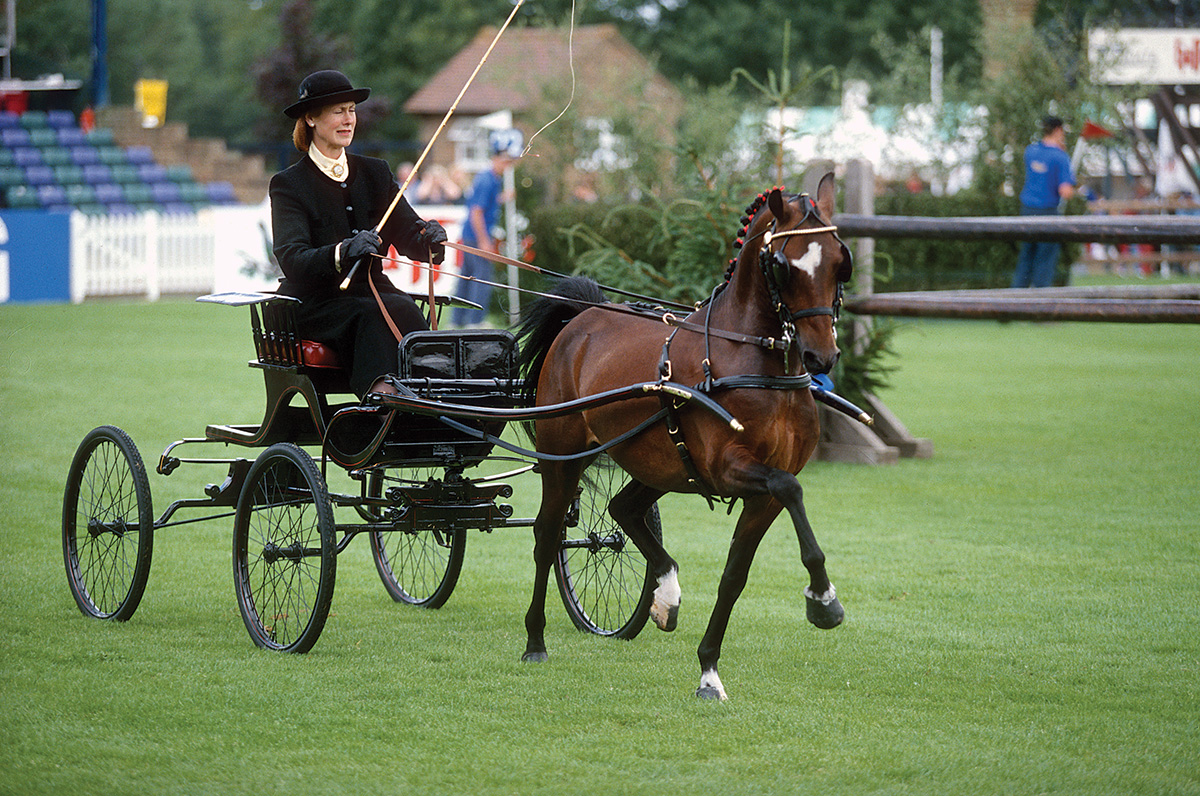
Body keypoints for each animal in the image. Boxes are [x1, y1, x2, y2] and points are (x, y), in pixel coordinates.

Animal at [515, 174, 853, 700]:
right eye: (783, 266)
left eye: (840, 261)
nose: (822, 355)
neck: (756, 365)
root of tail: (585, 317)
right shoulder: (731, 469)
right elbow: (791, 488)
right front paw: (823, 599)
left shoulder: (760, 493)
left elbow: (735, 575)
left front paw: (709, 671)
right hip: (564, 456)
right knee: (548, 536)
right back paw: (535, 640)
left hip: (658, 463)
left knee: (623, 508)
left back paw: (665, 594)